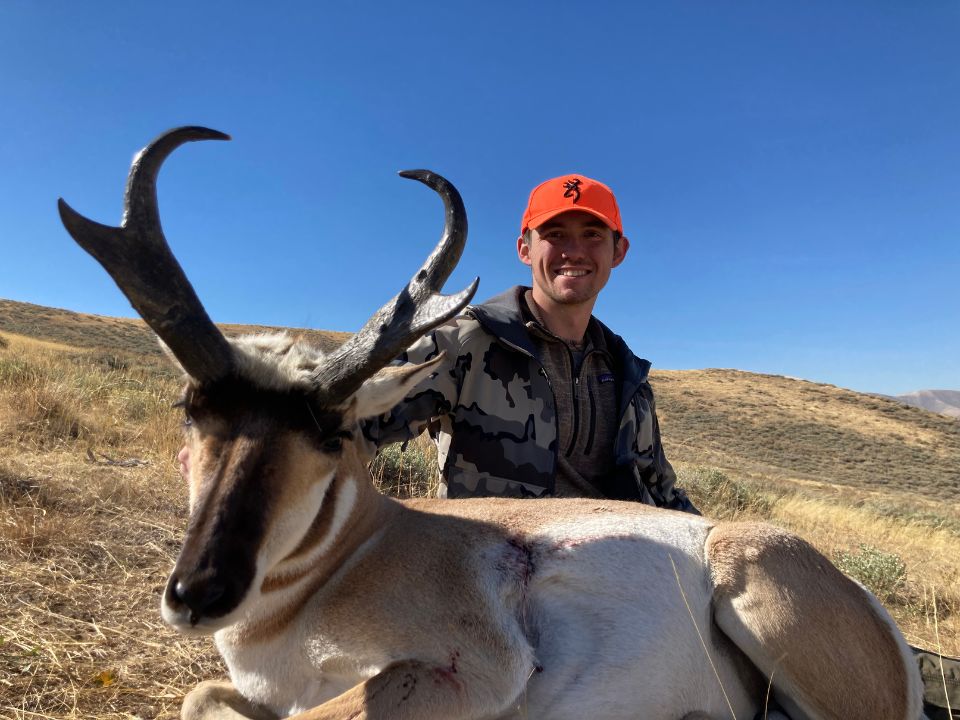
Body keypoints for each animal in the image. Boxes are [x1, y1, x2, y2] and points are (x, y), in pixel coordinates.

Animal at [59, 127, 923, 720]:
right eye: (192, 409)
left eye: (333, 433)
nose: (198, 593)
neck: (360, 548)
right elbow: (202, 696)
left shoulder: (469, 670)